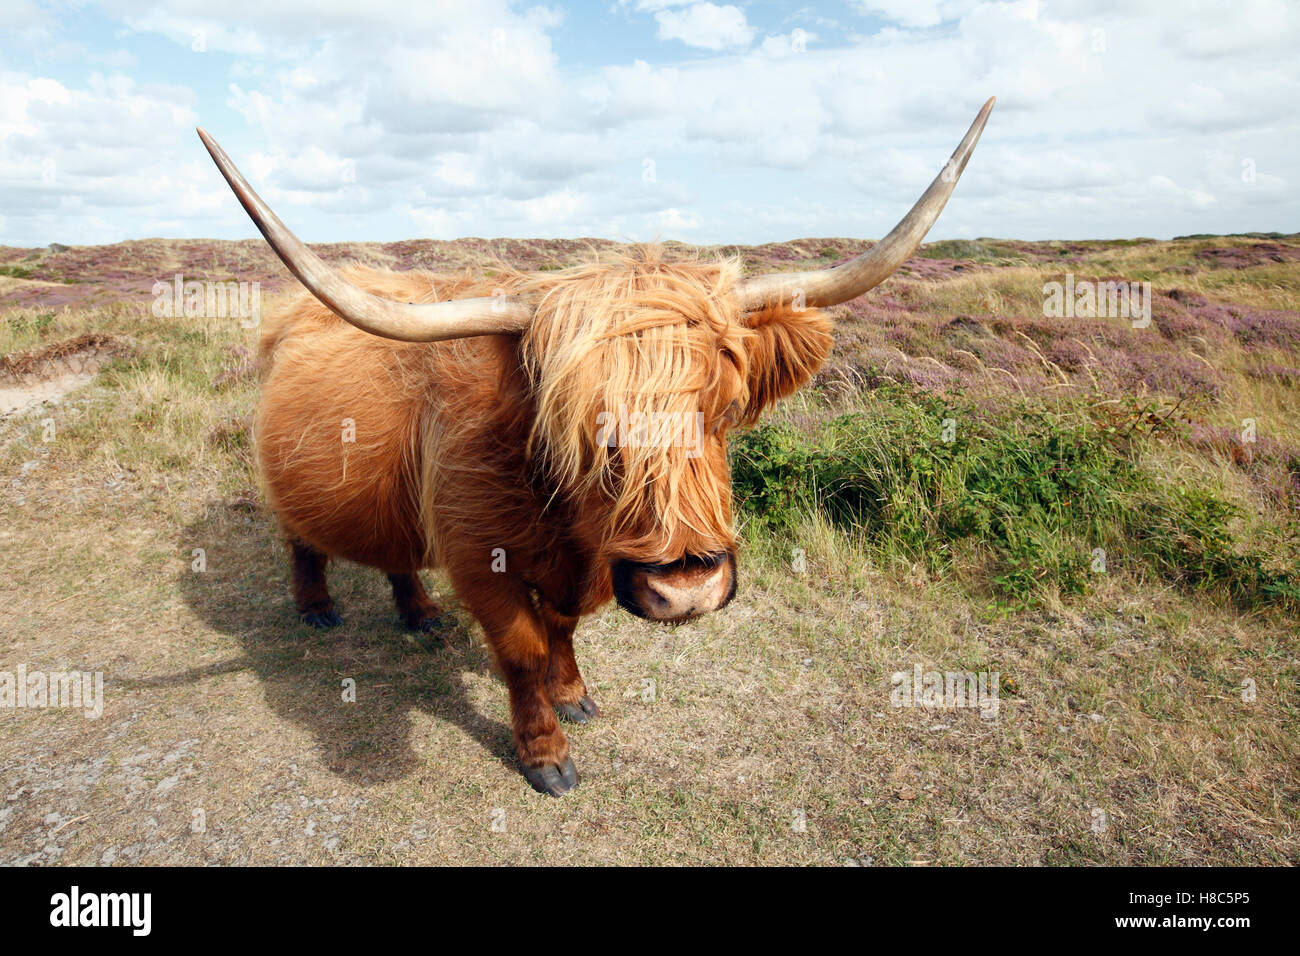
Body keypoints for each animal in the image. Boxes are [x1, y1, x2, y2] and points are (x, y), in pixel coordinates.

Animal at [197, 97, 994, 795]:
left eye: (727, 409)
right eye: (589, 427)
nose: (687, 589)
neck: (564, 524)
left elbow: (563, 627)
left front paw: (574, 692)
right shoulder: (478, 555)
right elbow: (522, 649)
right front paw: (546, 753)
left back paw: (421, 613)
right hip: (287, 486)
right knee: (301, 538)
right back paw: (316, 608)